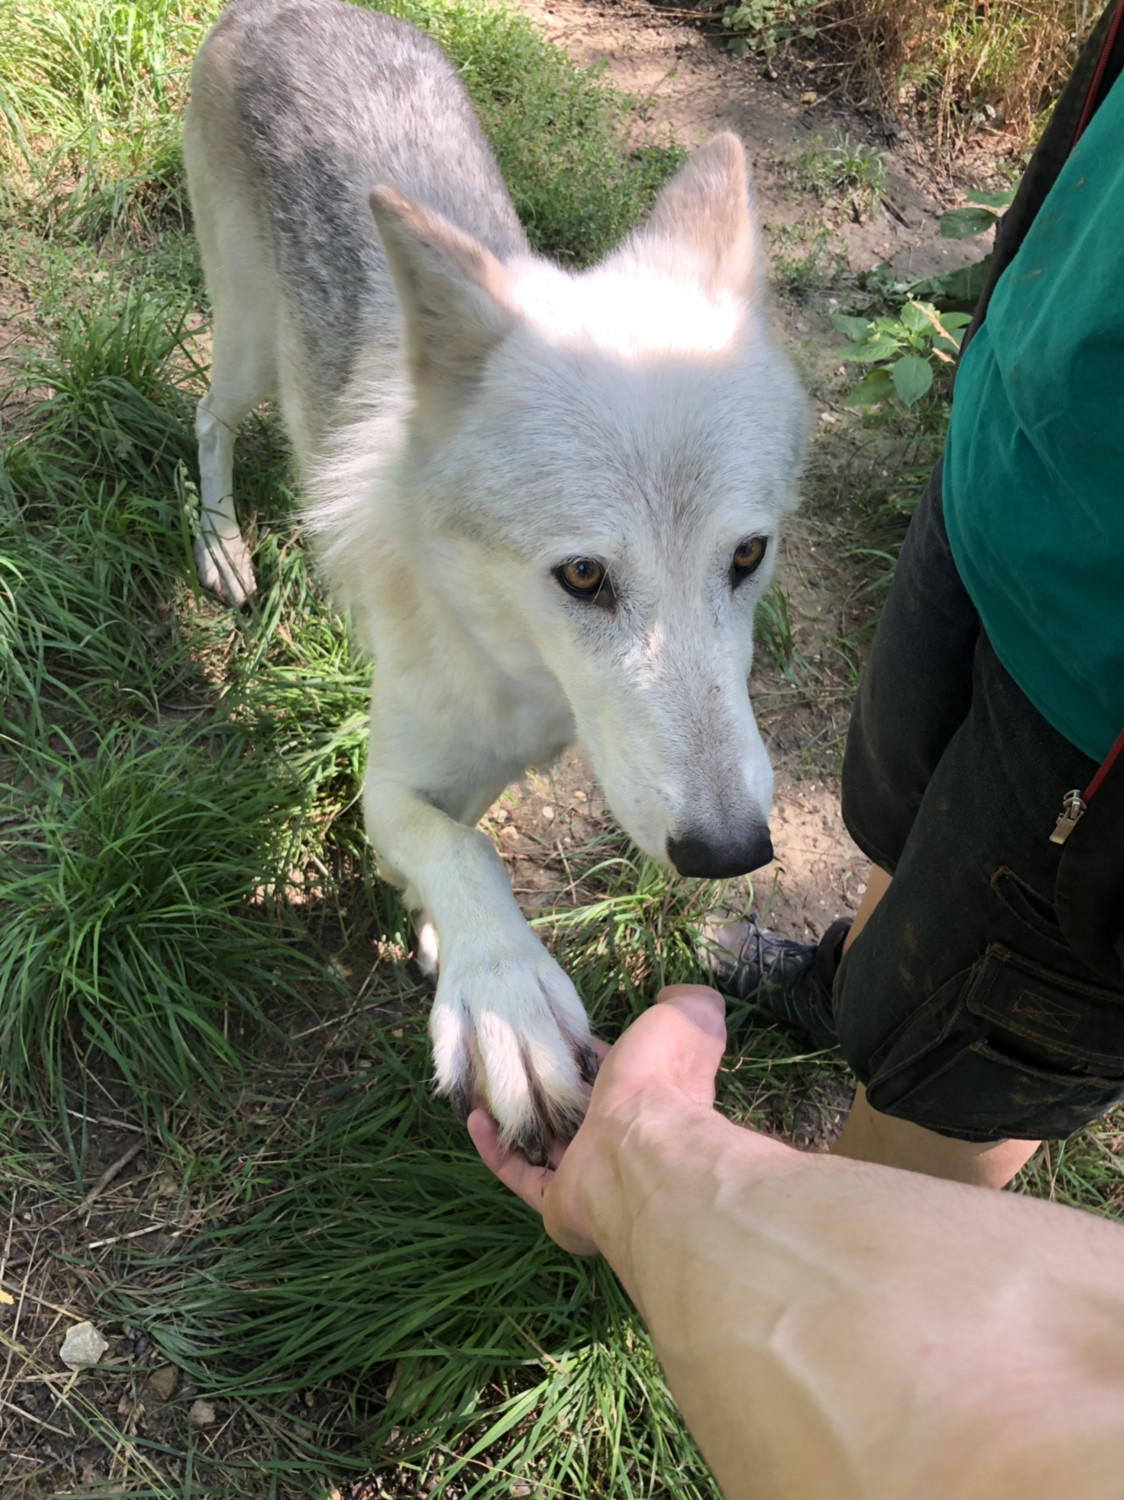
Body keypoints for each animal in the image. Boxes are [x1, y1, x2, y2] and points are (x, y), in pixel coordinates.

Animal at [184, 0, 807, 1161]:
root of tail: (278, 10)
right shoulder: (388, 780)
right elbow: (458, 853)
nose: (730, 852)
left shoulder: (491, 767)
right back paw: (220, 545)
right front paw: (503, 997)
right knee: (207, 415)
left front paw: (437, 936)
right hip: (243, 347)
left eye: (747, 556)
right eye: (583, 574)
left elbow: (461, 841)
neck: (521, 672)